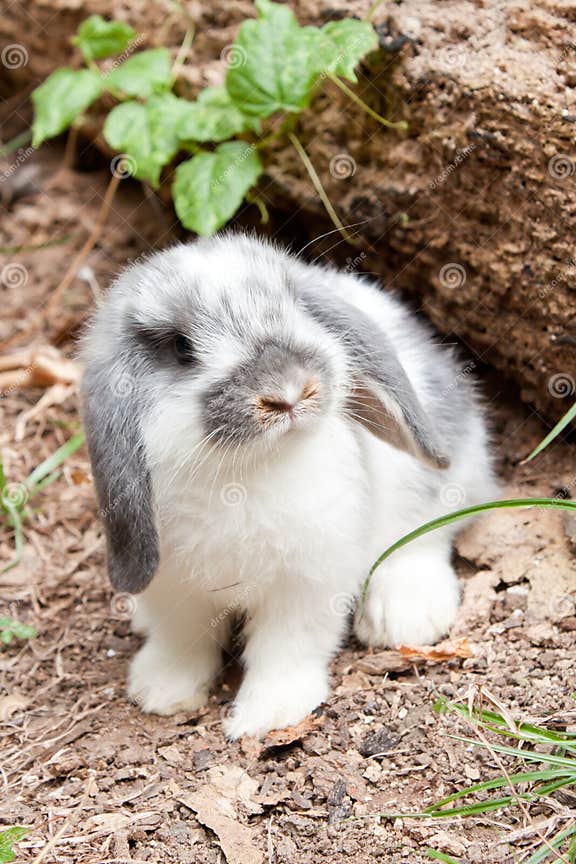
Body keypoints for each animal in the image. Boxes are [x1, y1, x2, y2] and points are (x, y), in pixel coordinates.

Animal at [81, 233, 495, 739]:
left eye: (292, 305)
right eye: (181, 347)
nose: (288, 391)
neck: (245, 473)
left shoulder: (307, 582)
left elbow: (286, 648)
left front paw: (269, 714)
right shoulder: (175, 587)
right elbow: (183, 641)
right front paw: (162, 692)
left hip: (440, 479)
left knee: (425, 535)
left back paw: (403, 615)